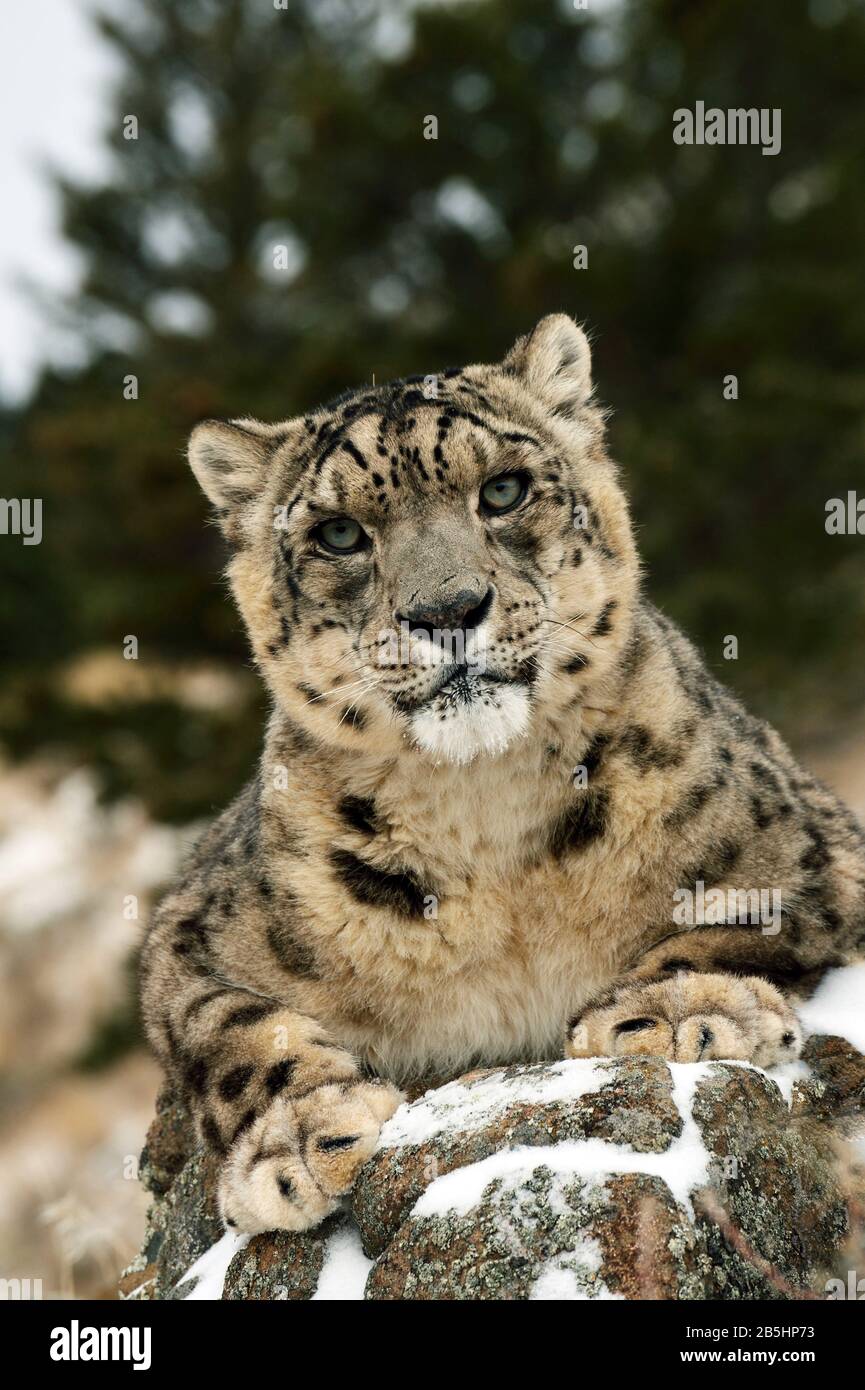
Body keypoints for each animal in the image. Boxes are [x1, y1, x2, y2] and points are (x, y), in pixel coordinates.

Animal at [140, 314, 865, 1235]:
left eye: (504, 490)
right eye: (339, 534)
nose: (446, 609)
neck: (482, 817)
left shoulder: (816, 841)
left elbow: (753, 905)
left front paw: (688, 1010)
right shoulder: (188, 936)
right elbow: (229, 1027)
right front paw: (300, 1137)